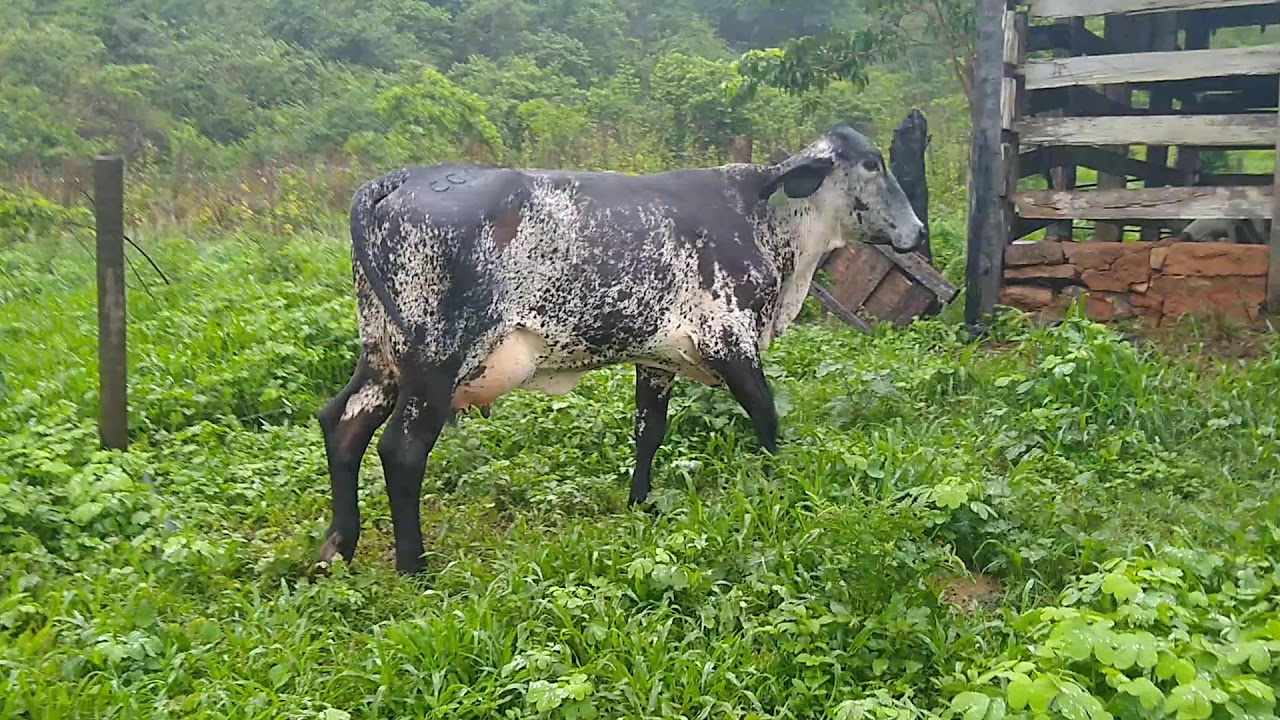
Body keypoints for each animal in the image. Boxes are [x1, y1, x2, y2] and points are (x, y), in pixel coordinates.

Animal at [314, 125, 926, 574]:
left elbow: (648, 432)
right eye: (872, 164)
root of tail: (402, 178)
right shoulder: (730, 340)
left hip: (382, 355)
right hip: (435, 363)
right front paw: (781, 484)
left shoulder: (658, 358)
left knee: (342, 422)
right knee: (401, 450)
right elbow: (767, 419)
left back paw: (337, 547)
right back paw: (413, 565)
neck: (767, 224)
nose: (918, 231)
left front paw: (641, 504)